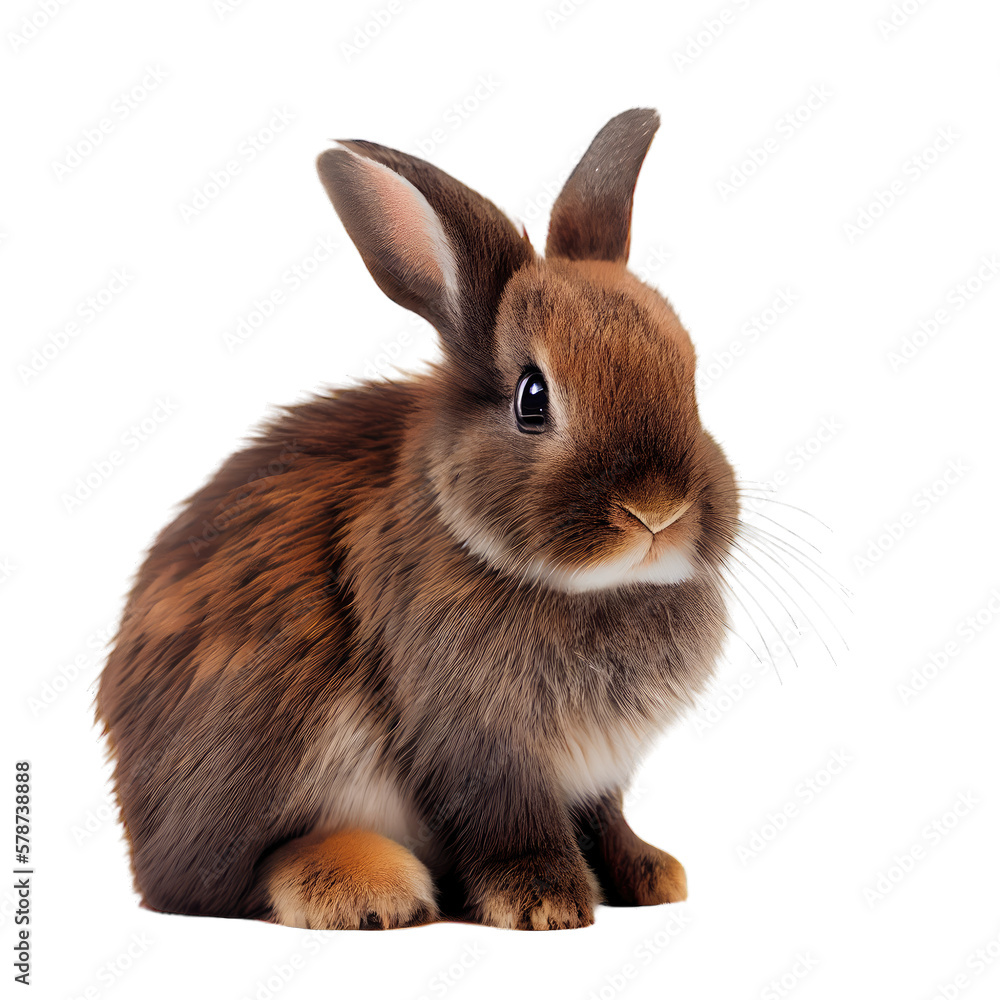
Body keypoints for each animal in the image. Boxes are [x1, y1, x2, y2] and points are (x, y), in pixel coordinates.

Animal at [96, 107, 739, 931]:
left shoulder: (599, 776)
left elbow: (609, 821)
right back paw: (368, 888)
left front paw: (651, 876)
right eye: (533, 398)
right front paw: (547, 904)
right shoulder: (478, 746)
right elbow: (511, 823)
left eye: (690, 379)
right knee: (231, 879)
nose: (658, 510)